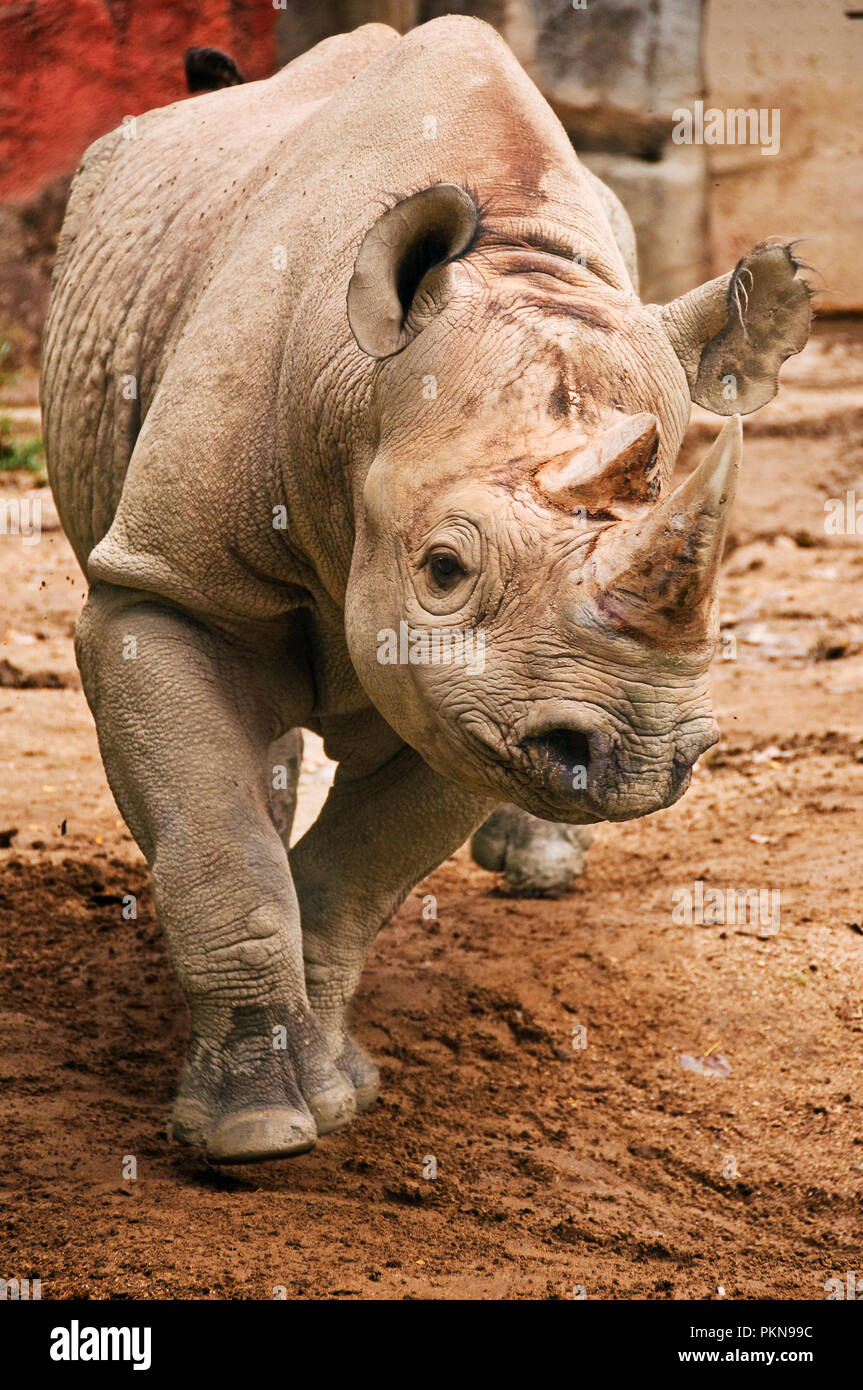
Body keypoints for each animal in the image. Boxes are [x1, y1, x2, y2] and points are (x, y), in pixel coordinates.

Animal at [42, 17, 811, 1162]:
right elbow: (226, 857)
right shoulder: (168, 590)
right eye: (444, 568)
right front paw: (254, 1135)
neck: (364, 396)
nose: (633, 760)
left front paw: (336, 1094)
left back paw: (540, 866)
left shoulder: (487, 700)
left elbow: (353, 882)